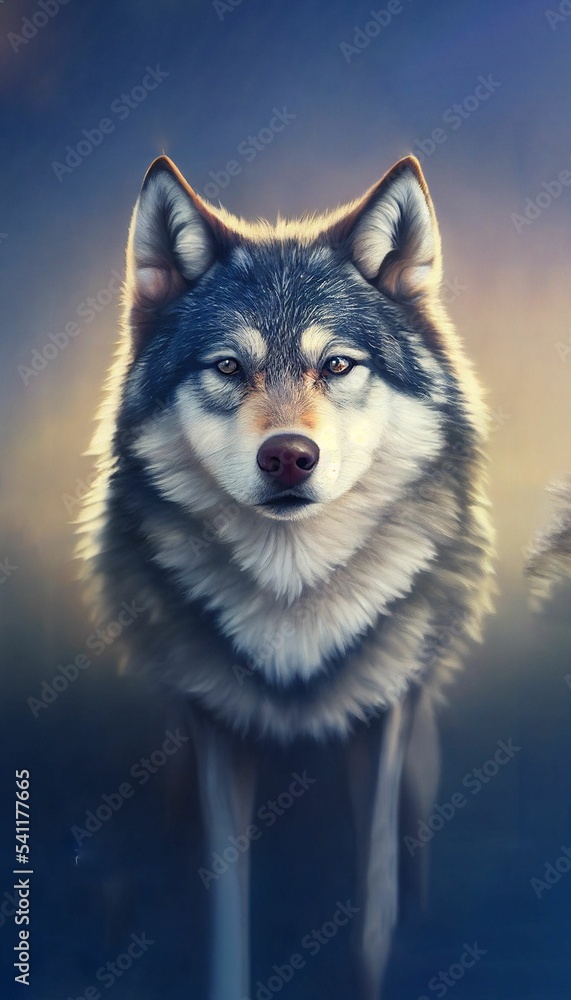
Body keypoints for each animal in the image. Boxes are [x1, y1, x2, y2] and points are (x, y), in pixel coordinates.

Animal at [78, 153, 495, 999]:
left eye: (335, 364)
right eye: (227, 367)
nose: (288, 457)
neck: (292, 597)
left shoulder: (382, 718)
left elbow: (373, 917)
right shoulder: (214, 727)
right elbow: (227, 915)